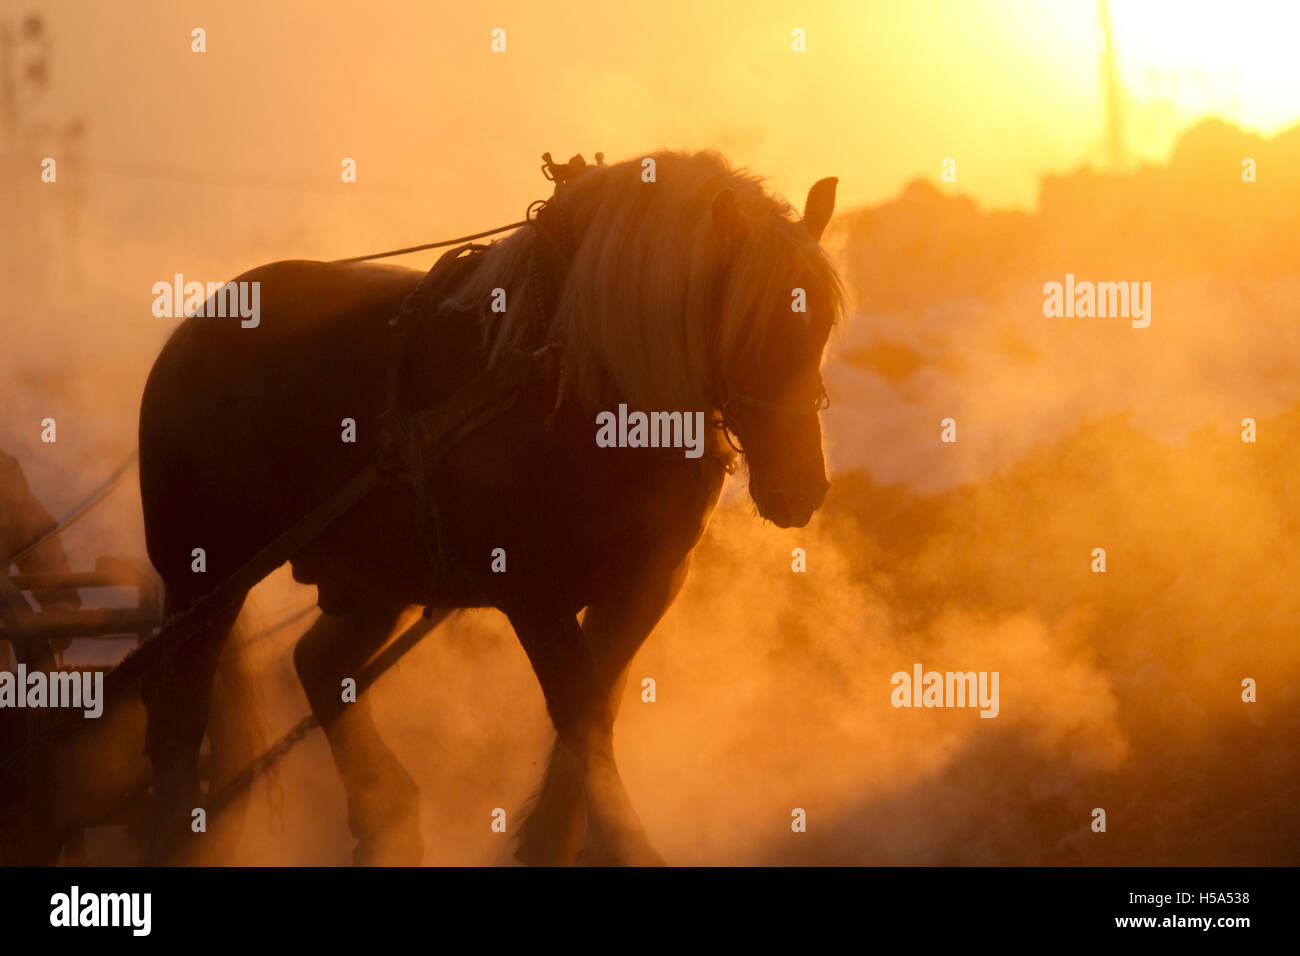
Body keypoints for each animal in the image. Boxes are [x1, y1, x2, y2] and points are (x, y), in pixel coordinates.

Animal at [137, 149, 845, 865]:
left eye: (820, 329)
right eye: (747, 328)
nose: (801, 489)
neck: (580, 387)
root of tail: (189, 335)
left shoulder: (647, 586)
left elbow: (600, 708)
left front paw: (556, 839)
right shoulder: (535, 593)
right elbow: (582, 718)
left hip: (374, 582)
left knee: (318, 665)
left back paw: (387, 817)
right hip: (204, 579)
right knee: (178, 719)